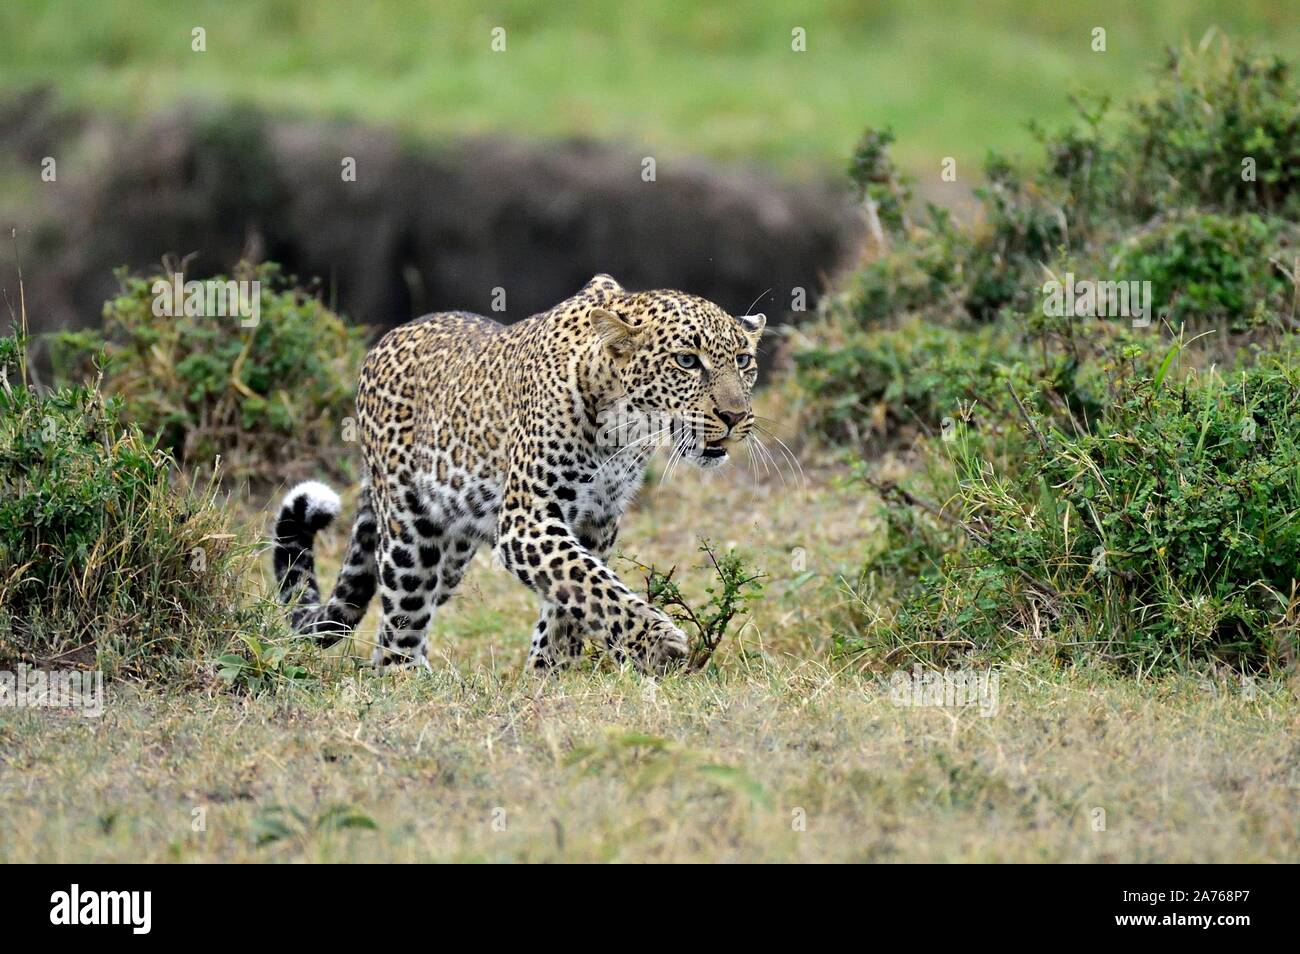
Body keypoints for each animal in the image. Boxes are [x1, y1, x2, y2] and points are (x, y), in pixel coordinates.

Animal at [271, 274, 764, 672]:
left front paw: (550, 671)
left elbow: (572, 594)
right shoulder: (528, 519)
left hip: (453, 551)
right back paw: (407, 678)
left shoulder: (597, 521)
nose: (735, 416)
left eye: (743, 361)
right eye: (687, 361)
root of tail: (383, 340)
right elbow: (585, 581)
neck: (623, 428)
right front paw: (658, 645)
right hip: (410, 531)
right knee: (400, 615)